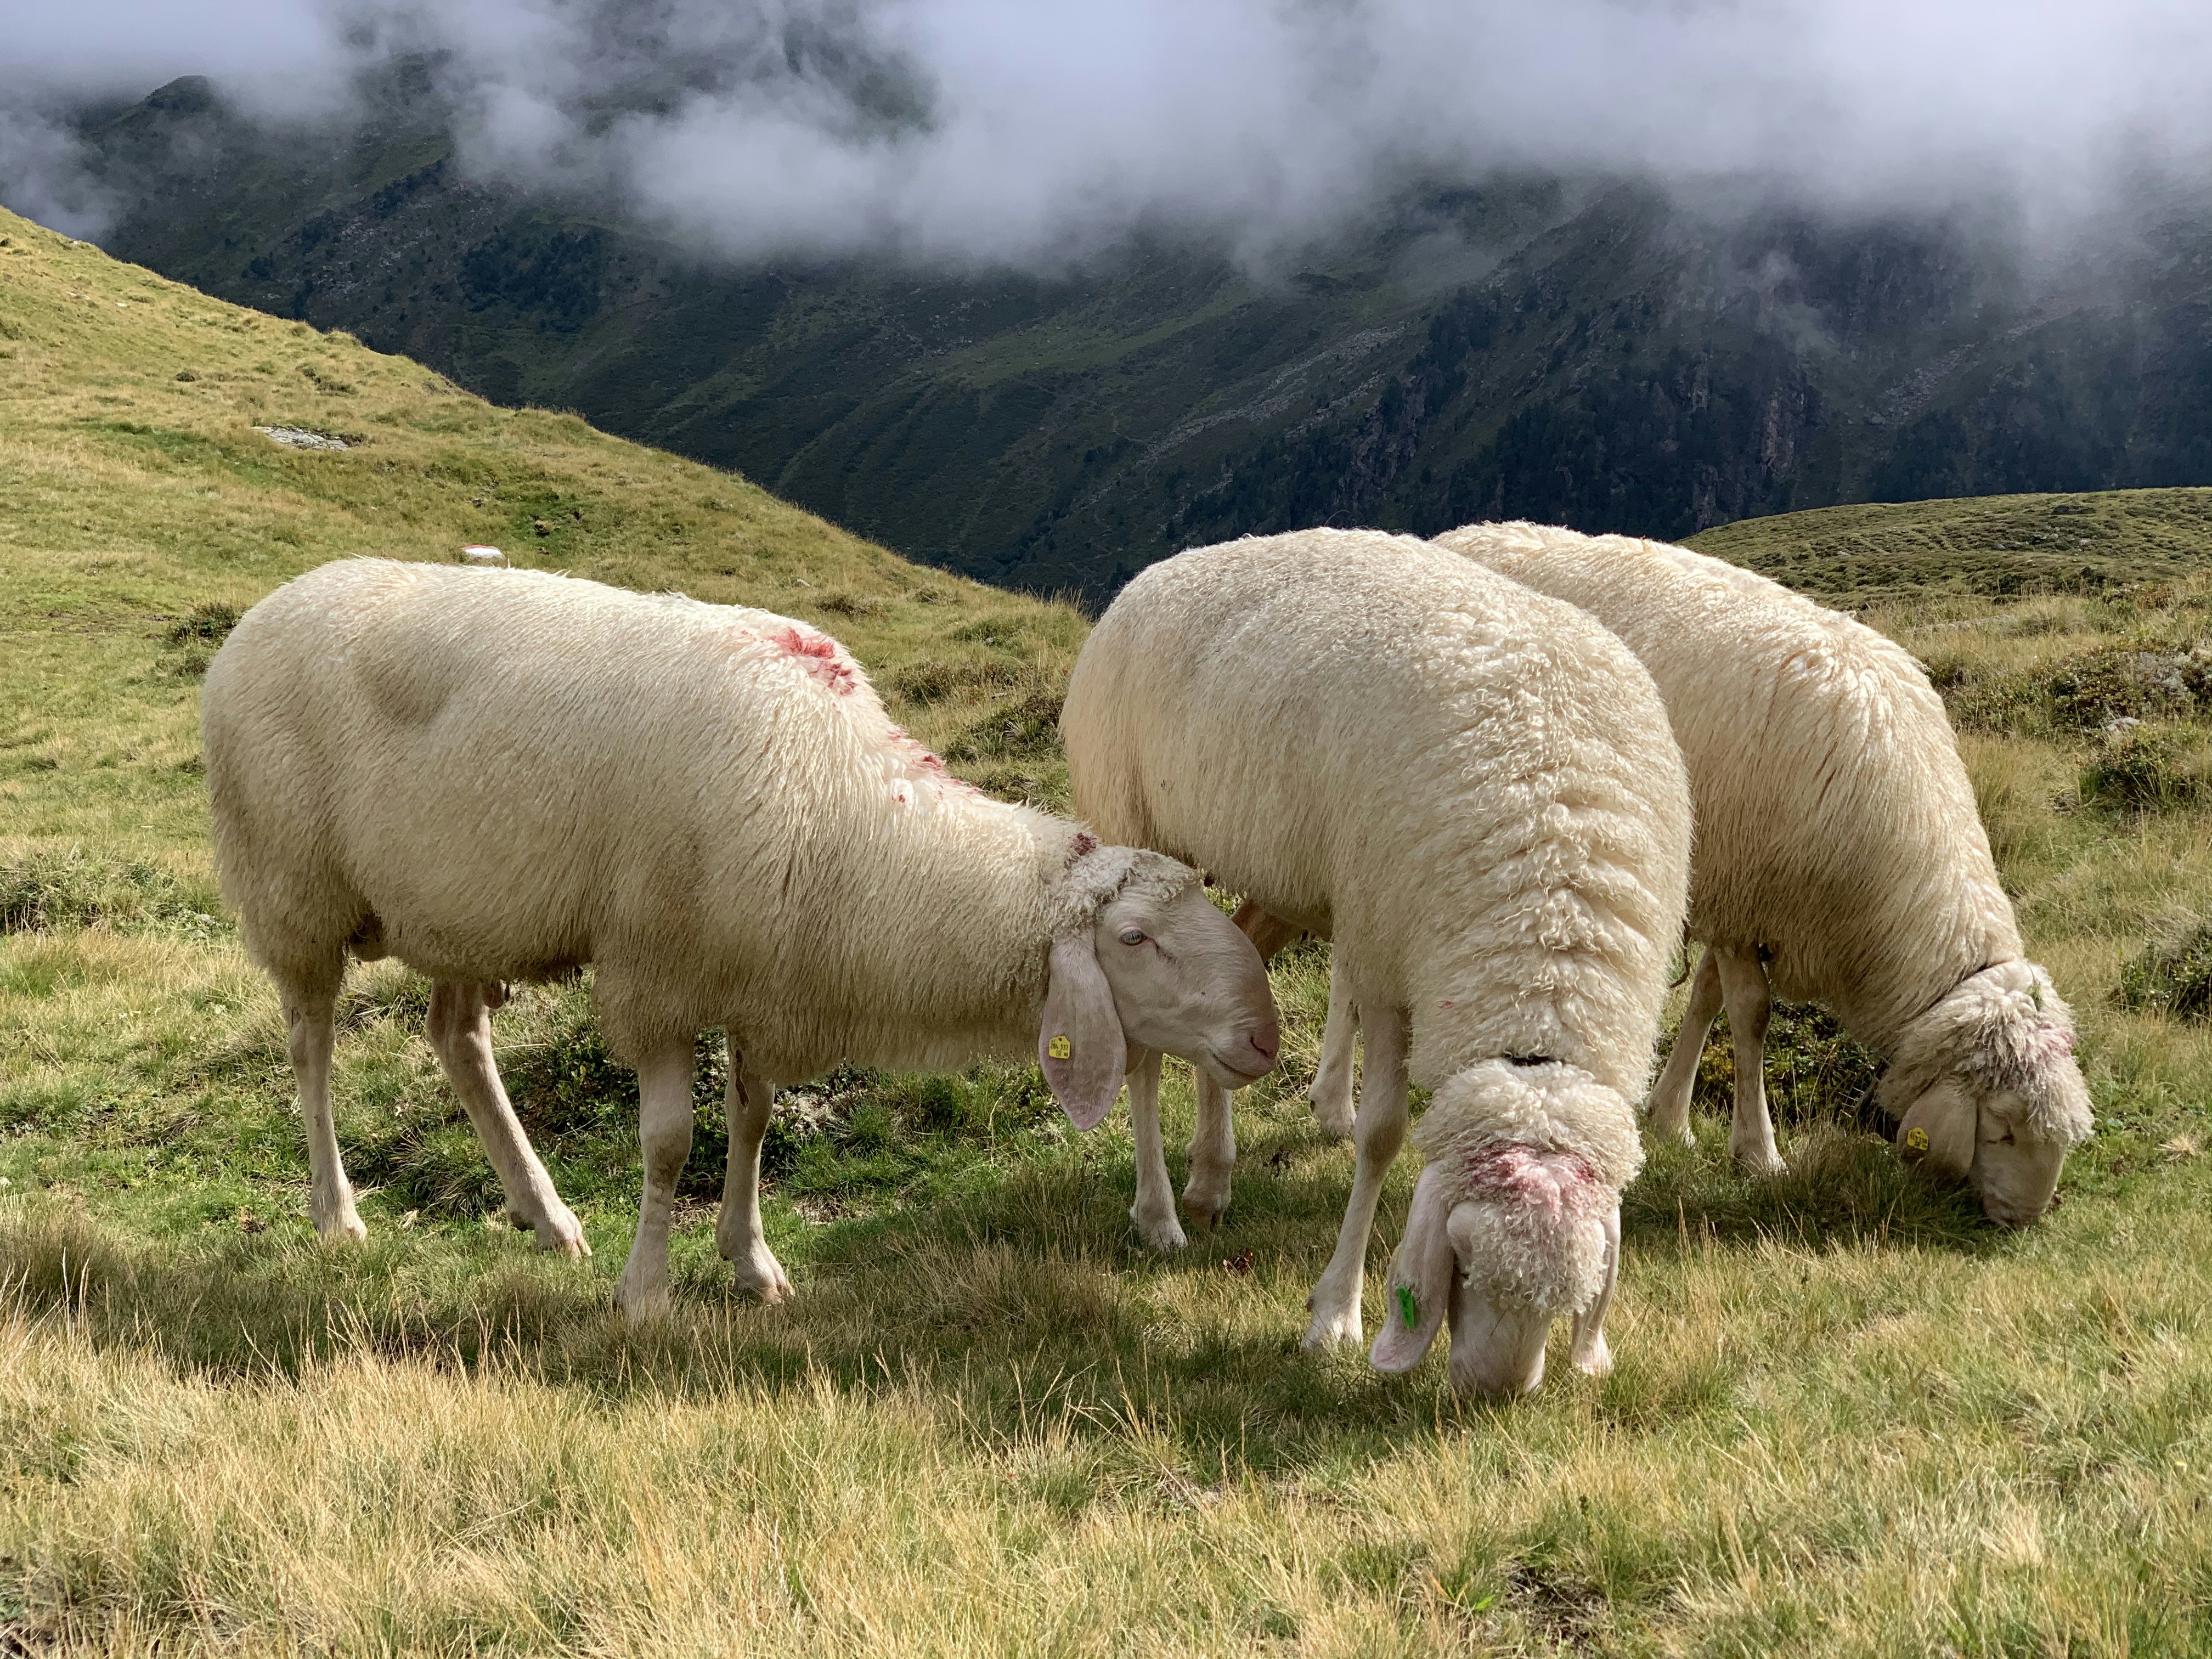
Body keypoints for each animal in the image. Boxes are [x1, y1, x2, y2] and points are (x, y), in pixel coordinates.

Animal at [202, 558, 1281, 1314]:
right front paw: (645, 1291)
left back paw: (544, 1214)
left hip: (463, 907)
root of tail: (260, 613)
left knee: (457, 1036)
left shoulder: (768, 977)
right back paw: (339, 1214)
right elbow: (669, 1143)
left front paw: (751, 1260)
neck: (851, 812)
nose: (1264, 1037)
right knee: (310, 1046)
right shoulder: (657, 975)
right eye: (1134, 938)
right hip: (293, 887)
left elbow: (753, 1122)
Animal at [1062, 529, 1690, 1396]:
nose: (1492, 1394)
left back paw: (1212, 1176)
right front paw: (1335, 1314)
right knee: (1144, 1056)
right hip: (1137, 822)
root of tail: (1162, 569)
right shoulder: (1385, 957)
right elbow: (1385, 1135)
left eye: (1578, 1289)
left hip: (1281, 875)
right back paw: (1157, 1213)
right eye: (1461, 1258)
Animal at [1325, 520, 2089, 1223]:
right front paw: (1758, 1151)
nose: (2025, 1221)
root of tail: (1457, 535)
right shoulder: (1744, 891)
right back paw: (1333, 1102)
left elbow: (1705, 997)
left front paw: (1670, 1116)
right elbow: (1751, 1016)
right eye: (2003, 1127)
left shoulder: (1729, 898)